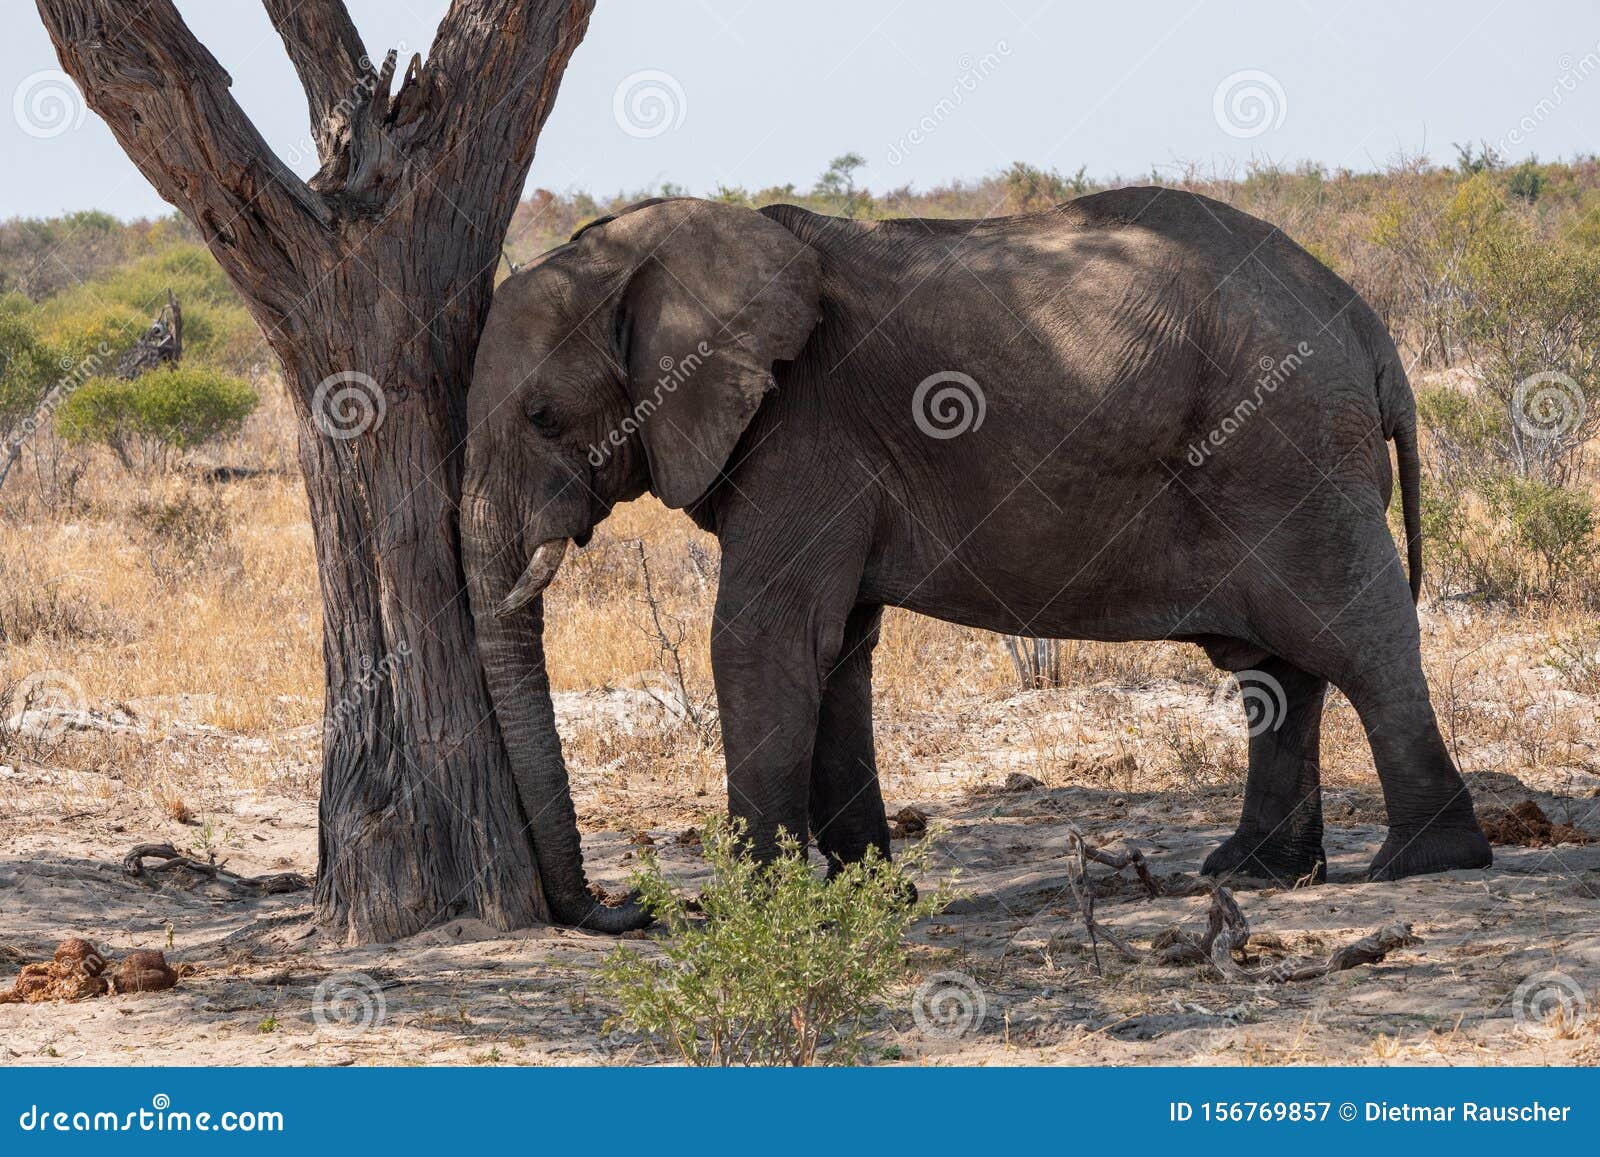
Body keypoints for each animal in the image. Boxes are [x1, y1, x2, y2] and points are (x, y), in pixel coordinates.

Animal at [461, 189, 1492, 932]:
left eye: (543, 416)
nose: (628, 907)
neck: (654, 245)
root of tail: (1369, 329)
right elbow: (837, 652)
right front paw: (871, 899)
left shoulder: (805, 432)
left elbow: (763, 639)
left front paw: (748, 910)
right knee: (1278, 665)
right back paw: (1259, 870)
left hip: (1289, 451)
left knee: (1358, 637)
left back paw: (1424, 863)